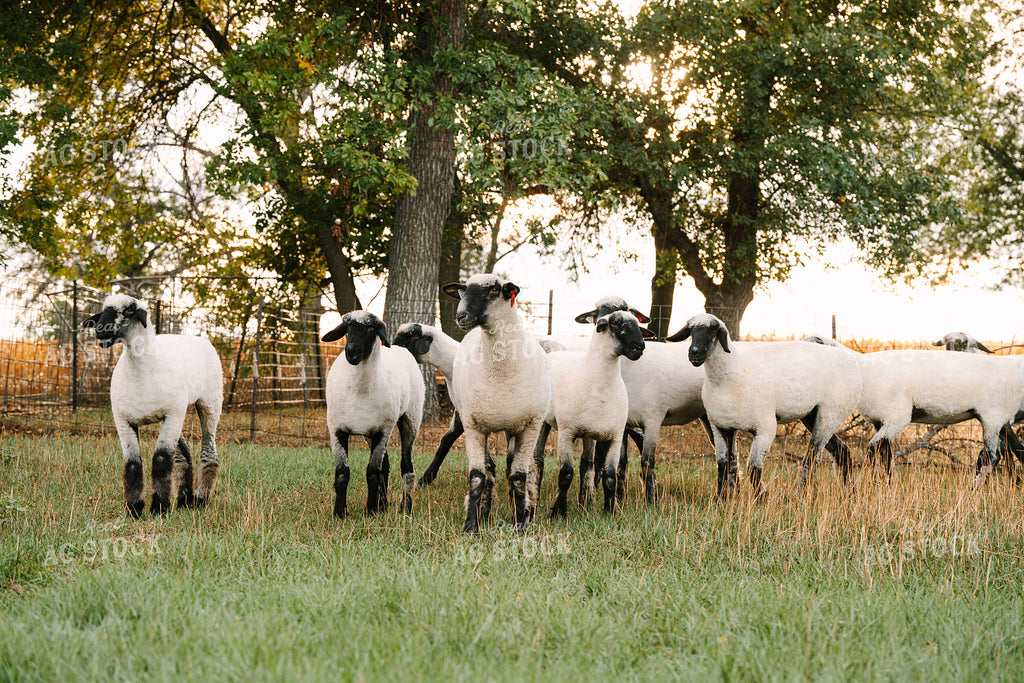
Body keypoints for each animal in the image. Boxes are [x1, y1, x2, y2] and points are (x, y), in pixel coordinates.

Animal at [82, 294, 223, 518]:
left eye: (129, 311)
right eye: (103, 310)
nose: (100, 330)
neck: (142, 369)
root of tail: (199, 338)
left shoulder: (172, 414)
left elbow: (161, 460)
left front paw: (159, 507)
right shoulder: (123, 420)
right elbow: (132, 463)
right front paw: (134, 509)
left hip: (209, 402)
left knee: (208, 451)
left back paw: (200, 500)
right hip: (177, 412)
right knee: (183, 454)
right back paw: (184, 500)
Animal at [321, 310, 424, 517]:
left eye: (371, 328)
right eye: (347, 328)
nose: (351, 353)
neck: (360, 390)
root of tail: (400, 349)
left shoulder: (383, 430)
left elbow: (372, 472)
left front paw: (370, 510)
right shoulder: (337, 429)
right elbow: (343, 472)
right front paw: (340, 512)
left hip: (410, 418)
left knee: (406, 466)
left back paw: (405, 508)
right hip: (370, 432)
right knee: (386, 466)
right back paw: (383, 504)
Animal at [441, 274, 552, 533]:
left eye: (493, 290)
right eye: (462, 291)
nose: (461, 316)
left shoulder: (530, 426)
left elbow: (519, 476)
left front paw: (520, 525)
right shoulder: (473, 426)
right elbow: (477, 476)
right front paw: (471, 527)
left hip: (515, 427)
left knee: (517, 469)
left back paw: (522, 512)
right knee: (490, 468)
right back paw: (485, 514)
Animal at [545, 311, 652, 517]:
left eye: (637, 323)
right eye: (616, 323)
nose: (640, 347)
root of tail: (556, 351)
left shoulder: (615, 437)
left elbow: (609, 476)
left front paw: (610, 510)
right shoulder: (566, 432)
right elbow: (566, 473)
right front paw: (558, 512)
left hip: (589, 433)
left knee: (587, 464)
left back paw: (584, 503)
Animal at [668, 314, 862, 499]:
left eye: (713, 330)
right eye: (691, 330)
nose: (694, 353)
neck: (732, 377)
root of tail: (850, 357)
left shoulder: (765, 427)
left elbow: (753, 467)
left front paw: (761, 499)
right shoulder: (721, 427)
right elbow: (724, 464)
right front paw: (722, 499)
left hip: (831, 413)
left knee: (812, 457)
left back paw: (797, 496)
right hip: (812, 414)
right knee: (842, 451)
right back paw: (850, 495)